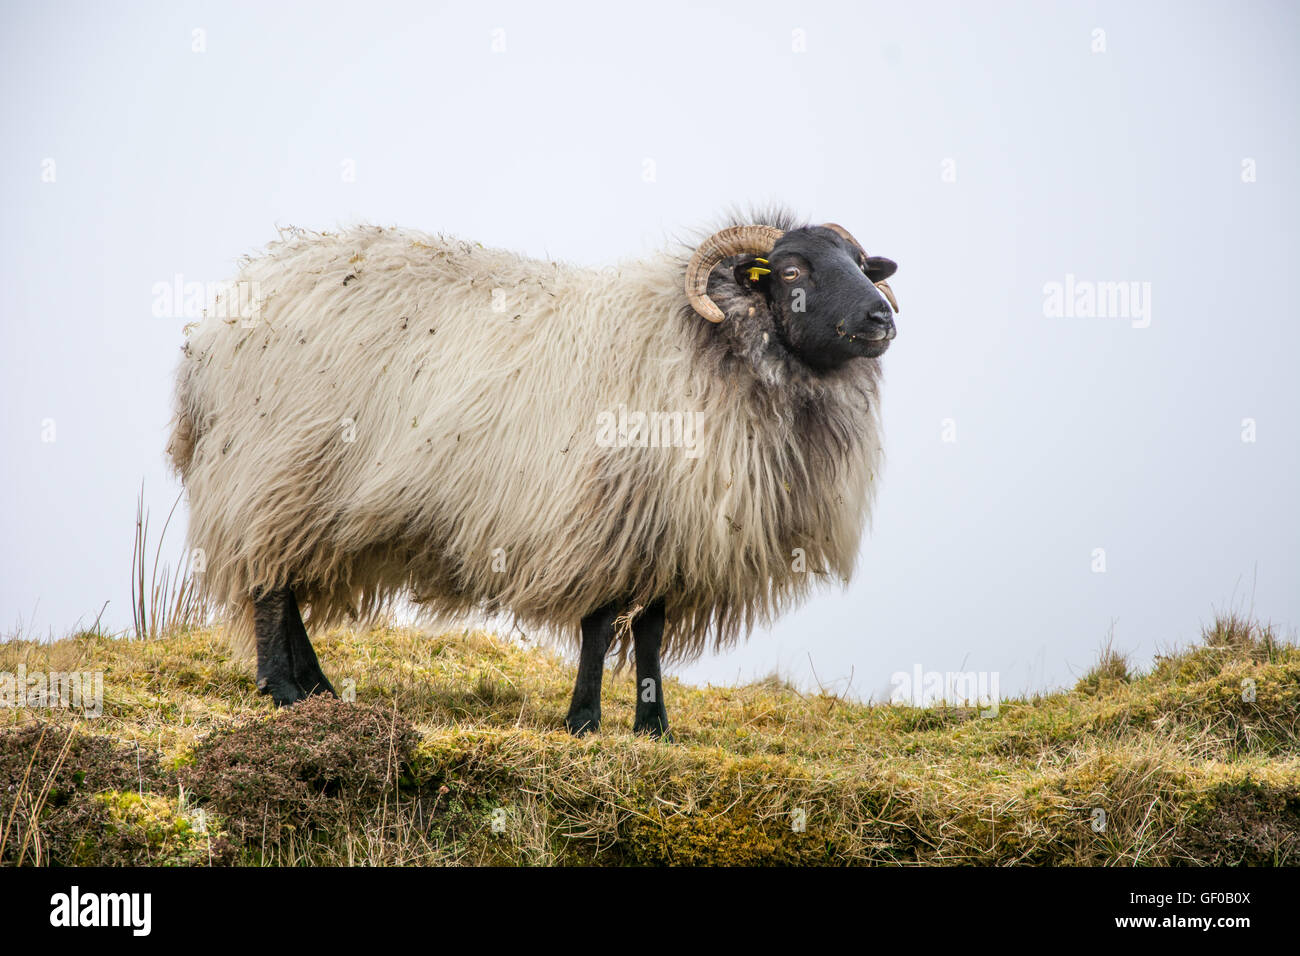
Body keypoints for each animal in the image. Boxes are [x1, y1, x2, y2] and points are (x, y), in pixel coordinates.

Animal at [167, 210, 900, 737]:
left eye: (862, 266)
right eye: (793, 270)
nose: (882, 315)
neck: (706, 347)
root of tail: (208, 334)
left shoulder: (669, 530)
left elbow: (651, 631)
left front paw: (653, 727)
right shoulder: (607, 517)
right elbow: (600, 626)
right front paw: (584, 721)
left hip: (304, 492)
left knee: (287, 584)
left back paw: (317, 688)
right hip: (273, 469)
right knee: (268, 584)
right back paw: (283, 691)